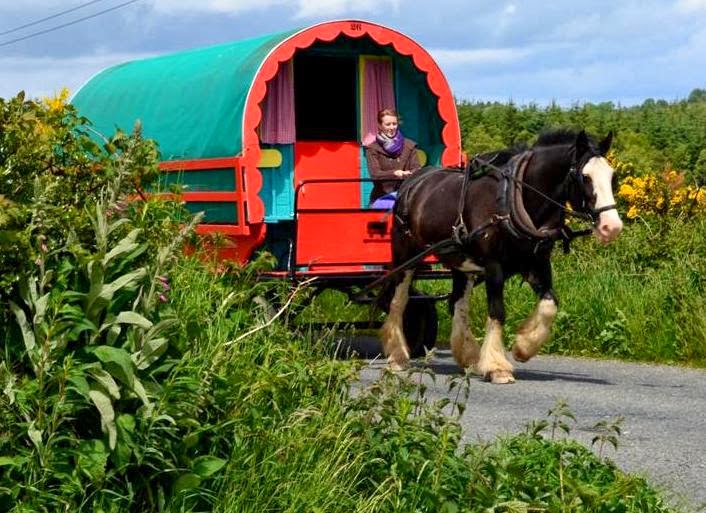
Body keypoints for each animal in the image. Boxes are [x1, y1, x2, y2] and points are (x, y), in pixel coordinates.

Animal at [380, 129, 623, 383]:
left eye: (612, 176)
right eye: (585, 177)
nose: (612, 226)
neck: (512, 200)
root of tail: (411, 182)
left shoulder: (537, 263)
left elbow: (550, 304)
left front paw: (523, 347)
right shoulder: (493, 266)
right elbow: (497, 312)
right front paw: (497, 367)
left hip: (461, 260)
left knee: (458, 304)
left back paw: (468, 356)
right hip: (406, 255)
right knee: (399, 301)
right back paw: (397, 355)